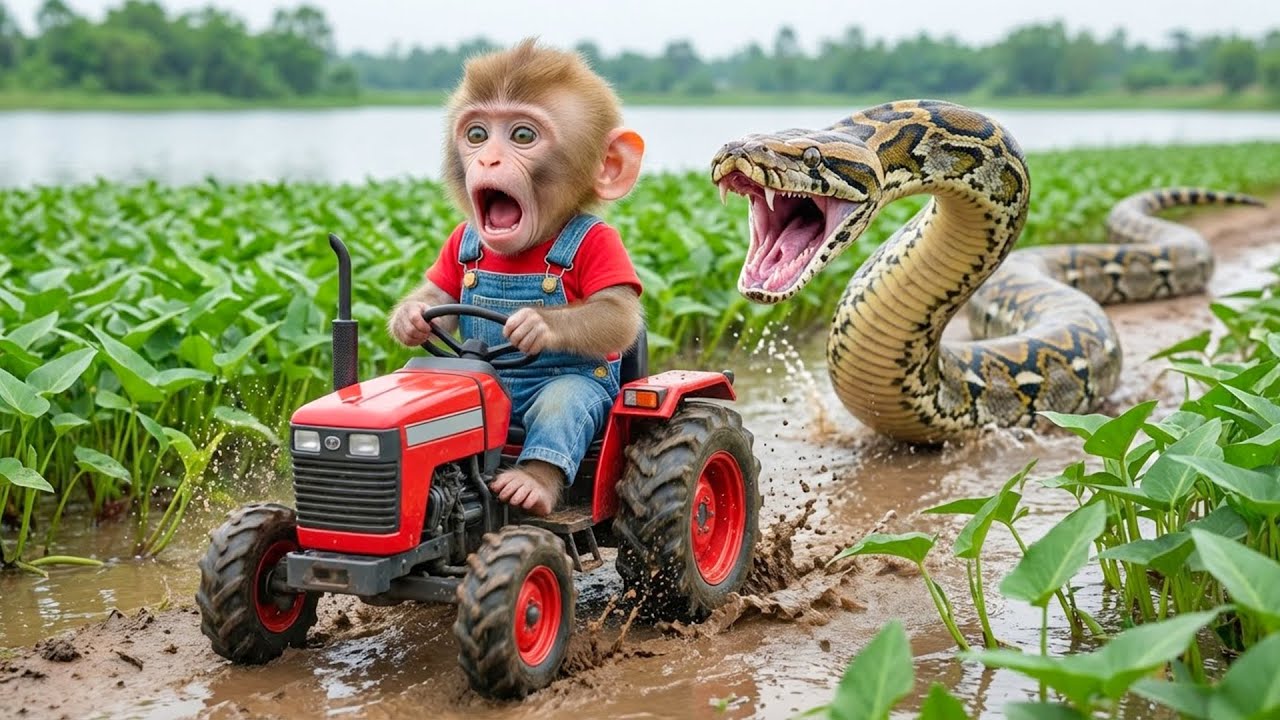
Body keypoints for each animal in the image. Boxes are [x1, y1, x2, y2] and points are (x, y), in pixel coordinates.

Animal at [388, 38, 645, 517]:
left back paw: (531, 485)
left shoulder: (604, 244)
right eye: (476, 135)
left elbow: (617, 312)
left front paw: (535, 324)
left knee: (565, 404)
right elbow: (438, 289)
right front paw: (410, 319)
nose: (489, 159)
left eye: (523, 136)